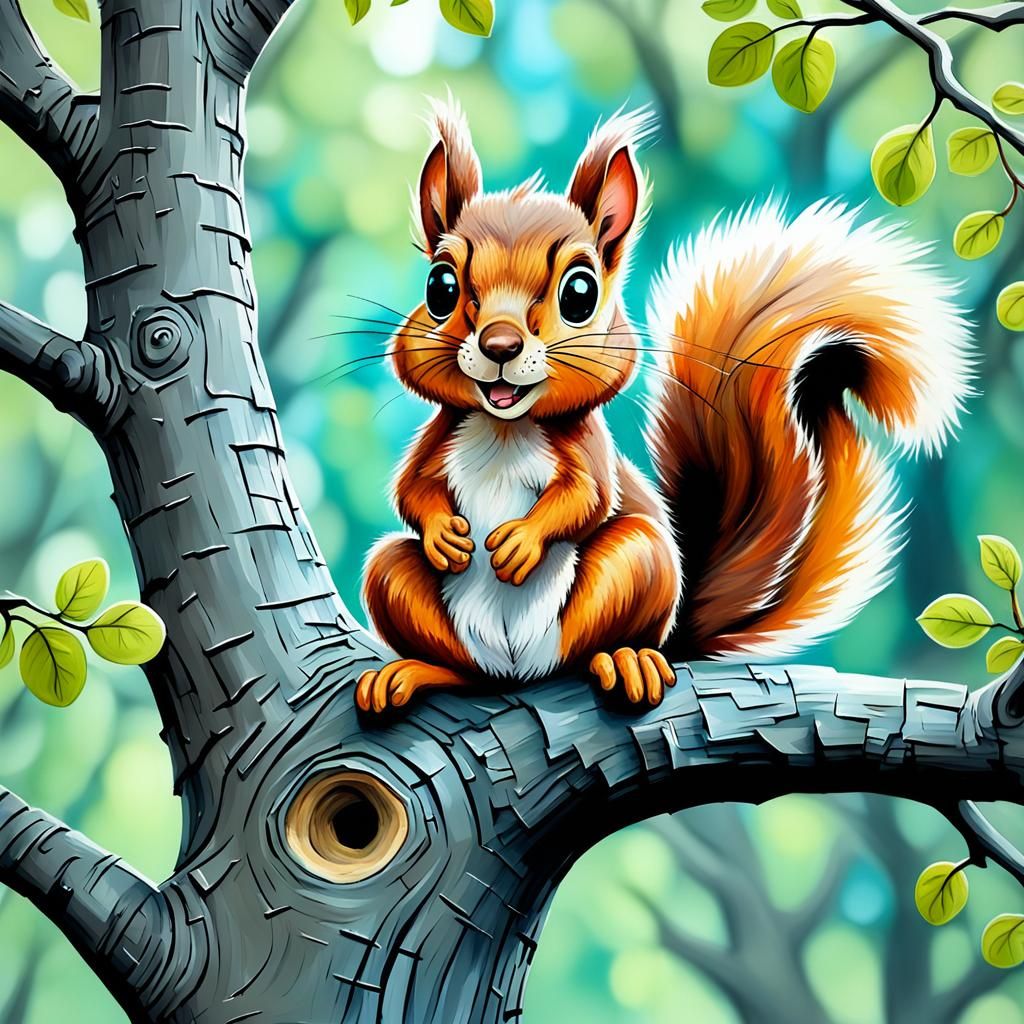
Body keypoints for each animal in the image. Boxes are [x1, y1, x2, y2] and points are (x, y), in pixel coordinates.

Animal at [355, 100, 973, 714]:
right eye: (440, 287)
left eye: (580, 294)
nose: (500, 345)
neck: (506, 426)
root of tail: (518, 670)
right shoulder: (438, 441)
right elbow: (411, 490)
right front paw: (444, 534)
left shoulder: (587, 455)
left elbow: (585, 499)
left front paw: (521, 540)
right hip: (394, 578)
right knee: (455, 655)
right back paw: (415, 672)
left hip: (638, 562)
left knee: (595, 638)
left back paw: (627, 660)